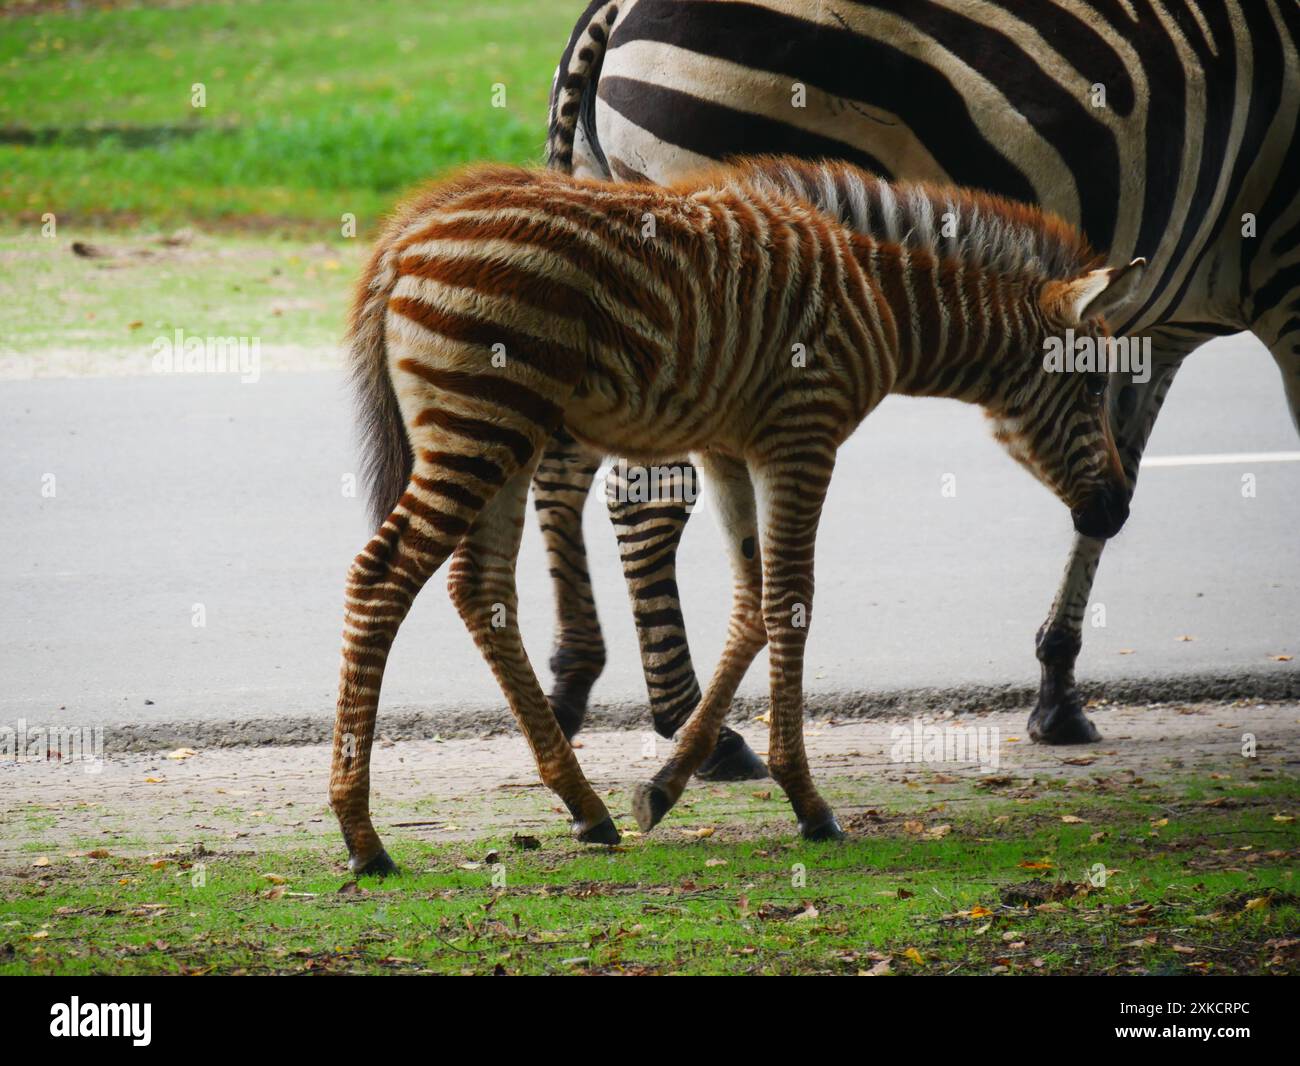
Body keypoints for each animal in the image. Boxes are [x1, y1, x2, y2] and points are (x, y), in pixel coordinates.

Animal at [330, 157, 1139, 871]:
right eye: (1095, 390)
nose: (1117, 511)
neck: (880, 300)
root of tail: (409, 229)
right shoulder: (802, 435)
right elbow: (790, 599)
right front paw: (808, 803)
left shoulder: (729, 445)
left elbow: (752, 602)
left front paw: (664, 787)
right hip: (482, 424)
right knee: (380, 577)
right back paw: (363, 837)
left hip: (505, 431)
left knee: (482, 589)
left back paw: (584, 807)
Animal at [535, 0, 1300, 758]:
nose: (1108, 512)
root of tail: (612, 11)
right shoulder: (1283, 277)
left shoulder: (1159, 335)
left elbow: (1123, 465)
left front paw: (1058, 691)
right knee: (647, 492)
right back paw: (699, 729)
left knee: (568, 469)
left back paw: (572, 688)